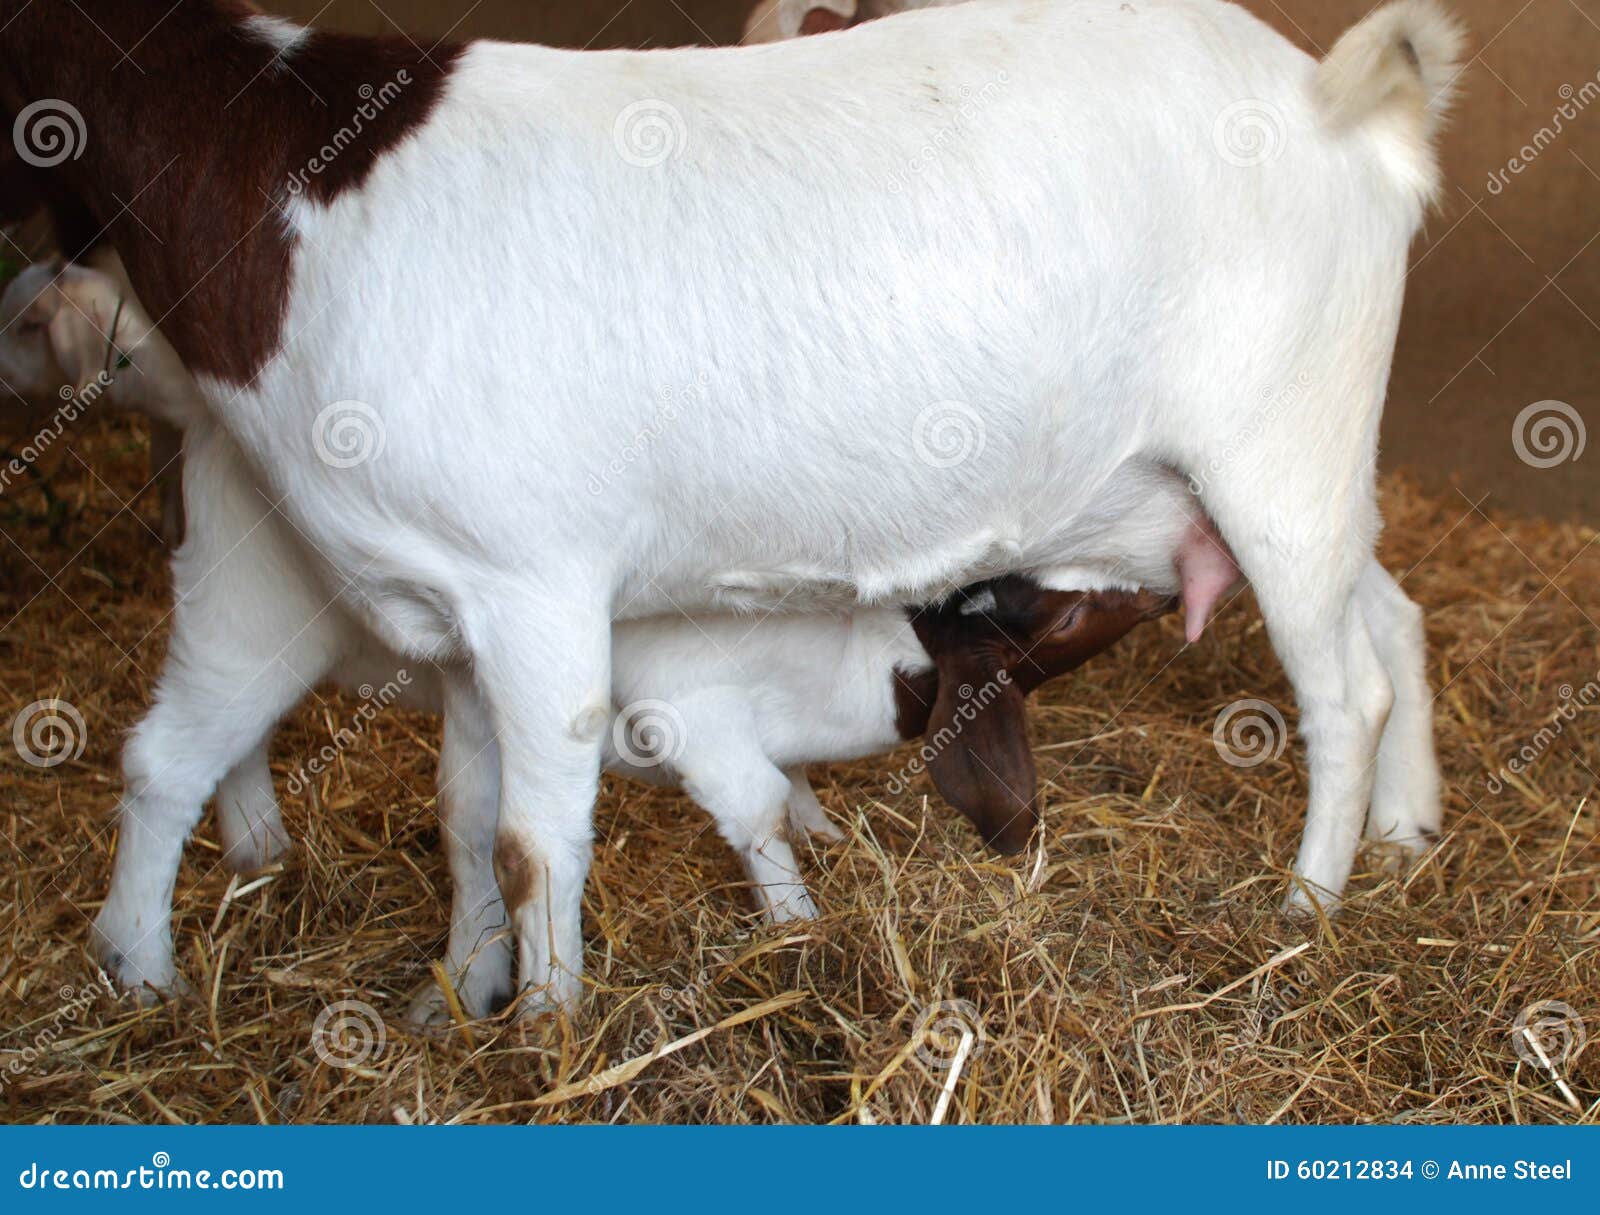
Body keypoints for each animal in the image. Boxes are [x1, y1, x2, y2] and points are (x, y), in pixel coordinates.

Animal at [0, 0, 1453, 1013]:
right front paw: (460, 996)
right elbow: (466, 817)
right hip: (1291, 469)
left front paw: (553, 1031)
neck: (294, 186)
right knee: (1389, 614)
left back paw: (1306, 906)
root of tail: (1345, 99)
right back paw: (1407, 830)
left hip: (1280, 443)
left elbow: (532, 842)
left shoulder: (535, 584)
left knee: (1343, 689)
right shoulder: (455, 602)